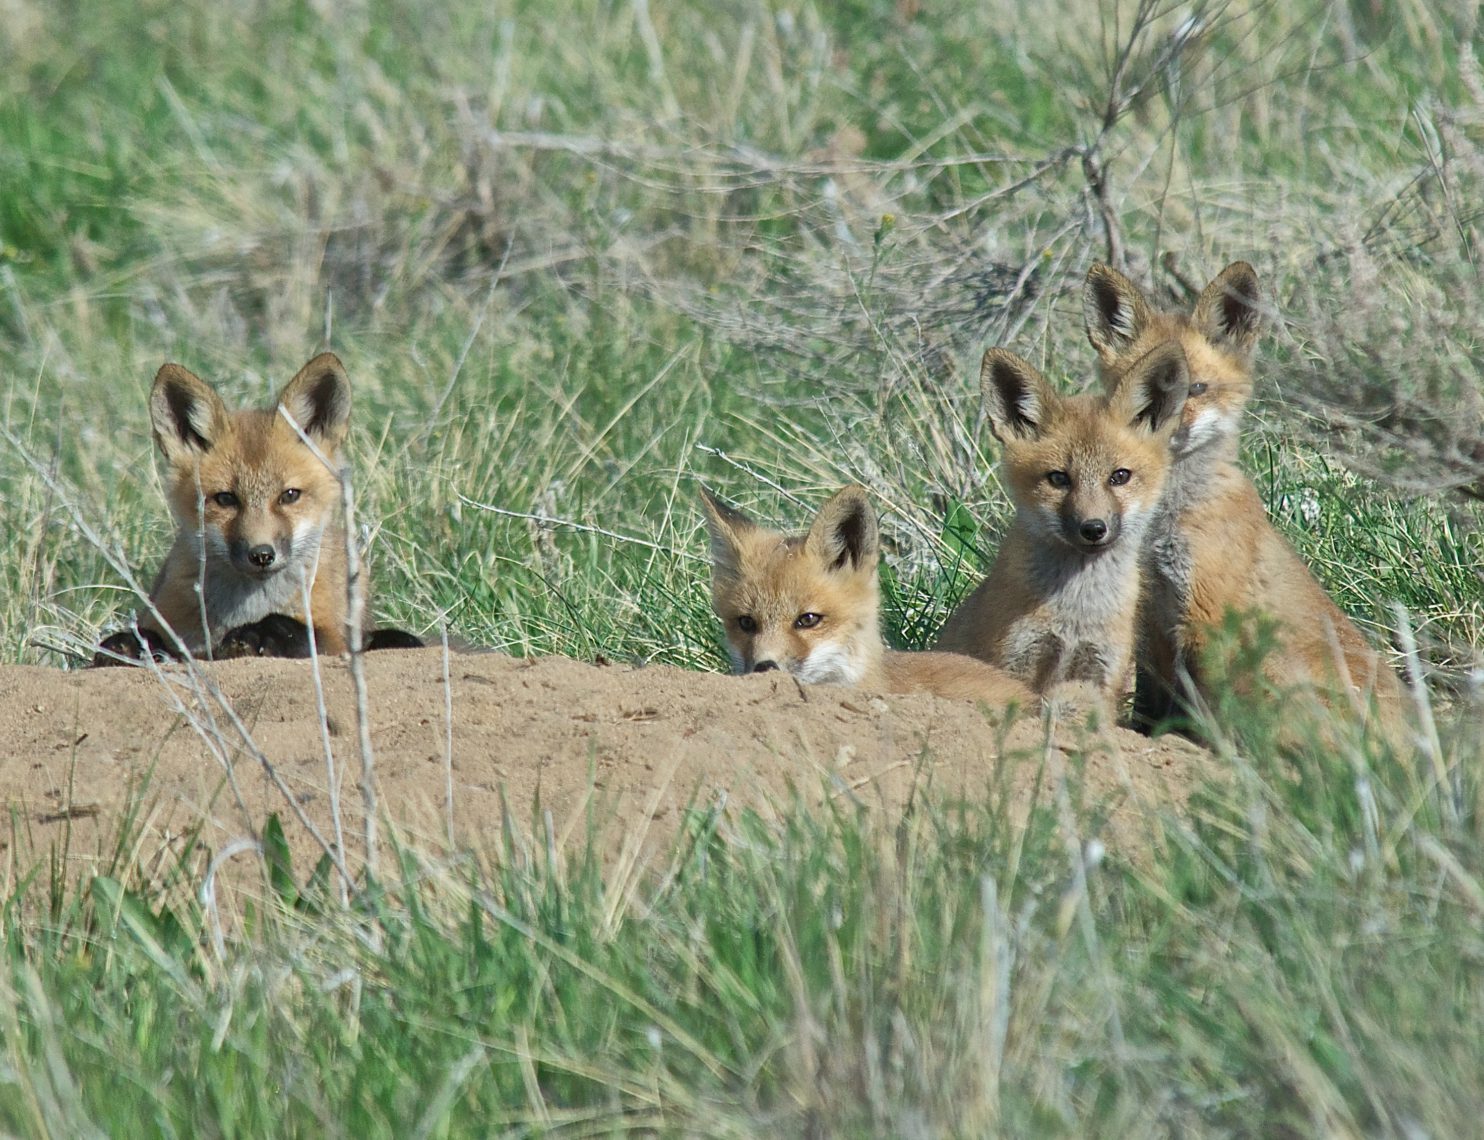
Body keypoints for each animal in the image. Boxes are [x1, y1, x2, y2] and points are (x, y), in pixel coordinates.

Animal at [93, 353, 422, 665]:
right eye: (226, 499)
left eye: (289, 495)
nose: (262, 554)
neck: (250, 606)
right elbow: (154, 636)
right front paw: (128, 643)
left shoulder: (335, 638)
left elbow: (292, 627)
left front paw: (258, 634)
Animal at [934, 343, 1190, 710]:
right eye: (1058, 479)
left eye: (1120, 476)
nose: (1093, 528)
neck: (1075, 616)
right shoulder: (1014, 663)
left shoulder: (1101, 670)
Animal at [1082, 261, 1405, 731]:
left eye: (1197, 388)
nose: (1166, 430)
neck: (1162, 527)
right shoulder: (1150, 615)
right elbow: (1149, 701)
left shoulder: (1207, 614)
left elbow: (1208, 700)